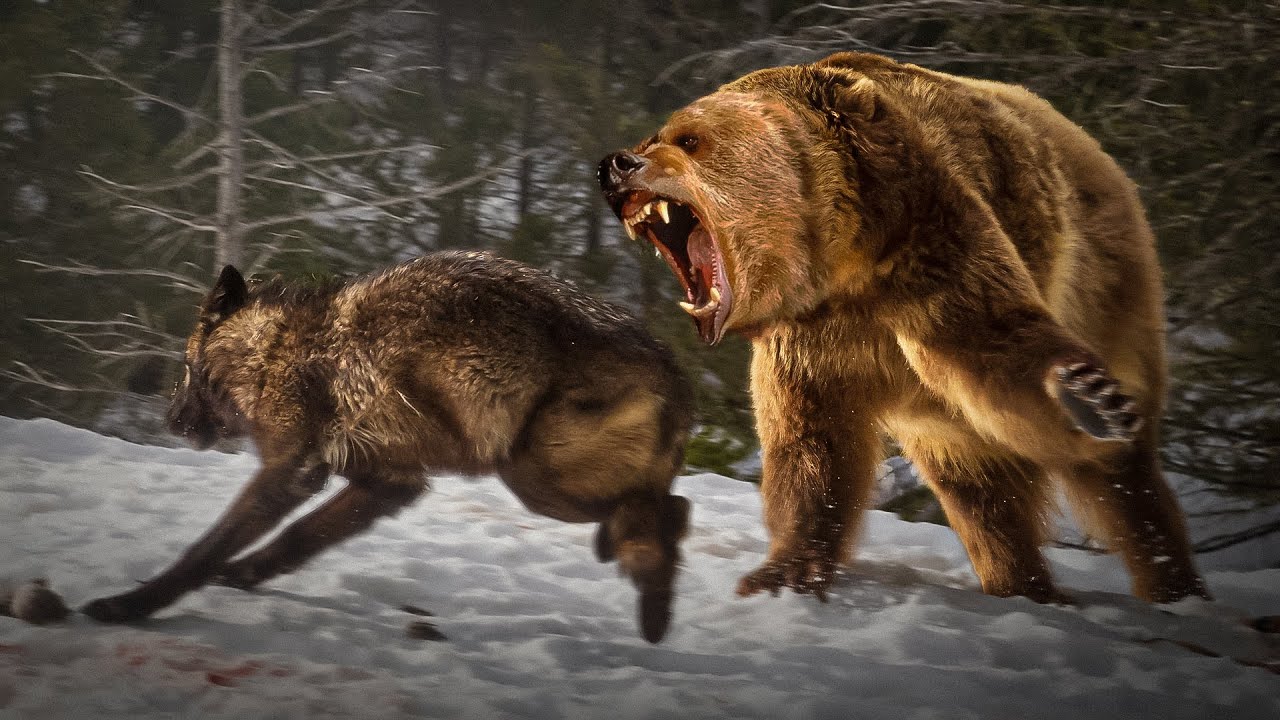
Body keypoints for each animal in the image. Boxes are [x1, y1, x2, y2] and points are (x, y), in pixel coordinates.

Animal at [598, 51, 1208, 605]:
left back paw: (1169, 579)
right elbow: (814, 446)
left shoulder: (929, 241)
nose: (617, 164)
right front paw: (787, 570)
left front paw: (1087, 394)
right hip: (943, 423)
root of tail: (1090, 143)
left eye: (689, 140)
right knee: (981, 487)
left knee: (1114, 470)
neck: (841, 259)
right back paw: (1020, 581)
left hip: (1101, 277)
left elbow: (997, 339)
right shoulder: (811, 342)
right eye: (654, 135)